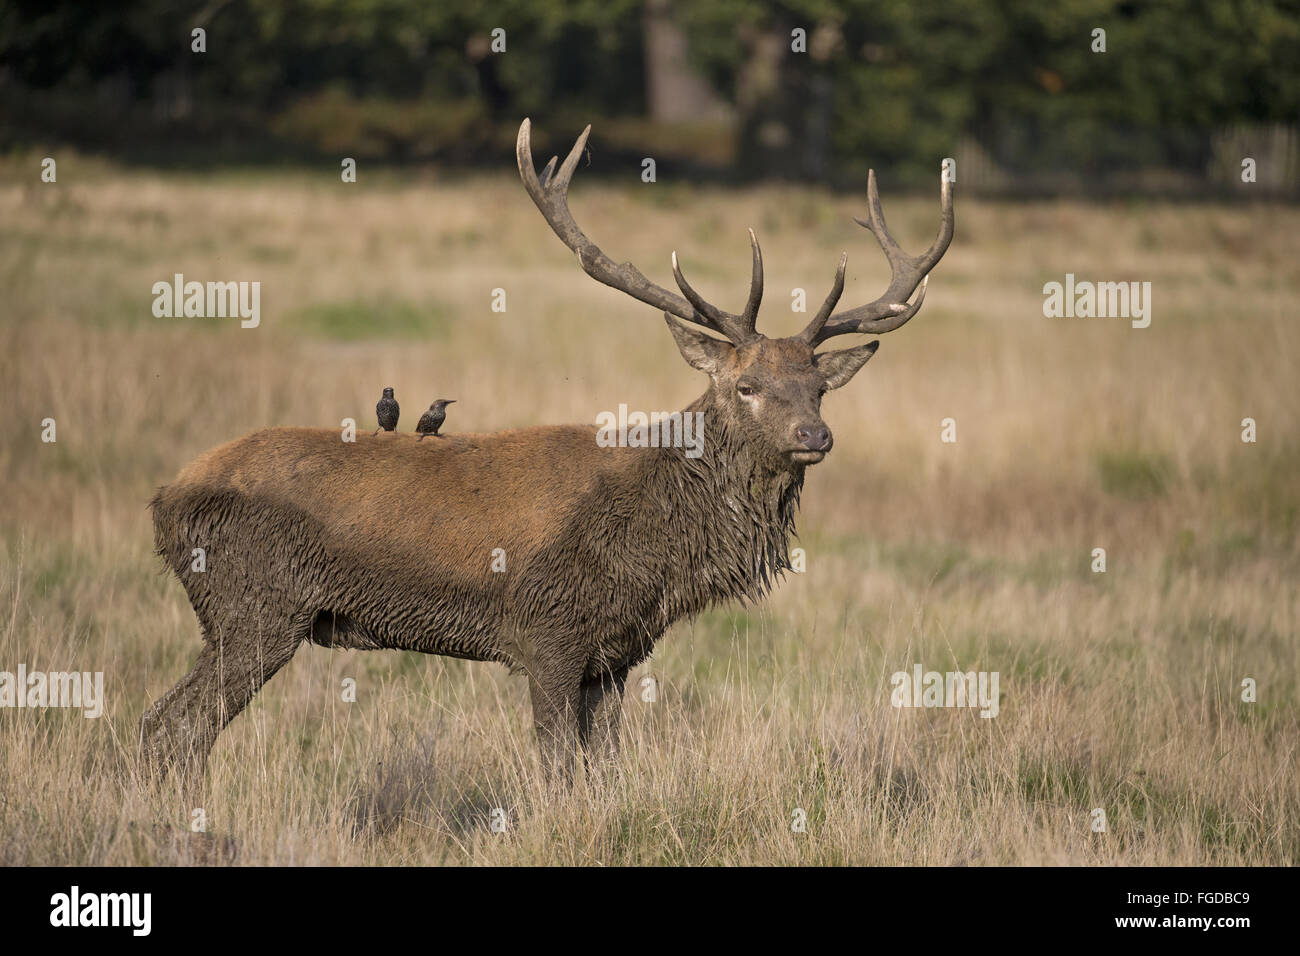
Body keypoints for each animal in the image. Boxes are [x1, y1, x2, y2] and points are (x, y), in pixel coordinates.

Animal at [139, 119, 953, 784]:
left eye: (819, 387)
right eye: (747, 385)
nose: (814, 437)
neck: (657, 555)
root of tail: (164, 502)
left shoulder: (617, 654)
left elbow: (606, 771)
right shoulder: (548, 631)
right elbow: (557, 767)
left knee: (166, 724)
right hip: (256, 605)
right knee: (174, 726)